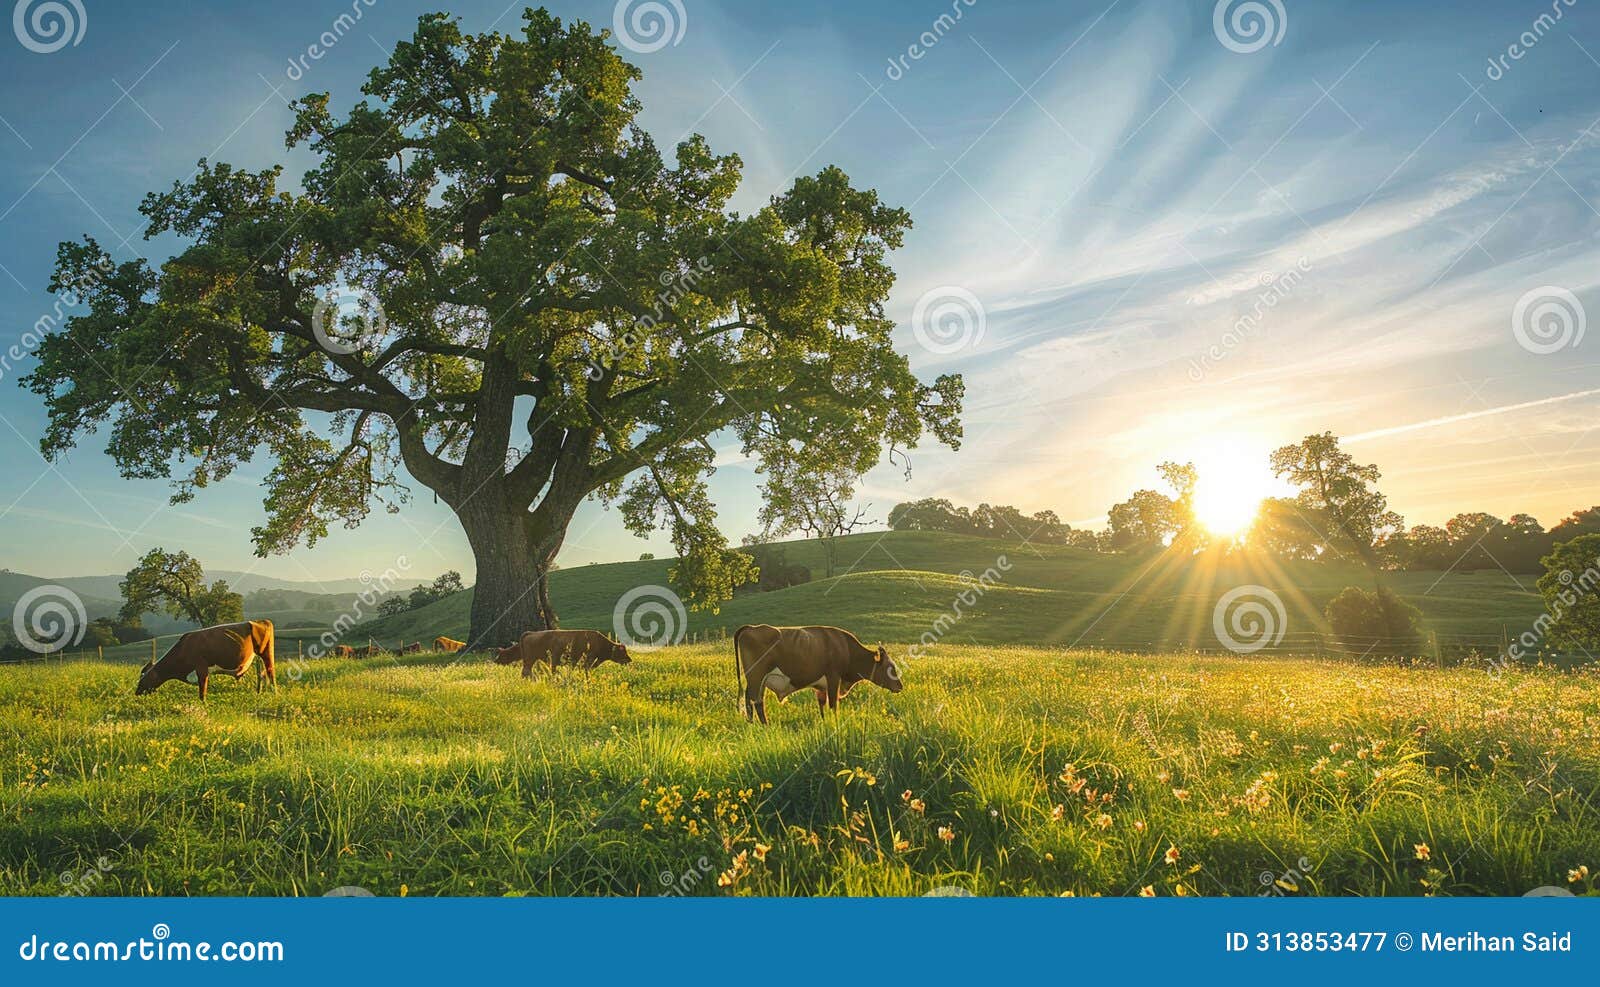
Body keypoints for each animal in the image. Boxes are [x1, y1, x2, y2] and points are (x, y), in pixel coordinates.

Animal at [135, 620, 277, 701]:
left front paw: (203, 704)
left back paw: (274, 692)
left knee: (270, 672)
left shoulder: (201, 668)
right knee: (261, 674)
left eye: (143, 679)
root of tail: (261, 621)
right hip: (257, 658)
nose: (136, 692)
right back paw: (259, 693)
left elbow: (202, 691)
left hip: (266, 653)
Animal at [494, 630, 632, 679]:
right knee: (526, 671)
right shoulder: (589, 660)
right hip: (530, 659)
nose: (629, 660)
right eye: (622, 652)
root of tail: (530, 633)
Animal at [732, 624, 902, 725]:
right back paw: (765, 726)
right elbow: (833, 705)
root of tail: (752, 627)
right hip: (756, 677)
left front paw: (825, 722)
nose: (900, 686)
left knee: (750, 701)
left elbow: (822, 705)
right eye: (891, 668)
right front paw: (835, 722)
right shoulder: (833, 678)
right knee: (756, 701)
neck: (846, 648)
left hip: (757, 681)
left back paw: (753, 723)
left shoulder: (821, 686)